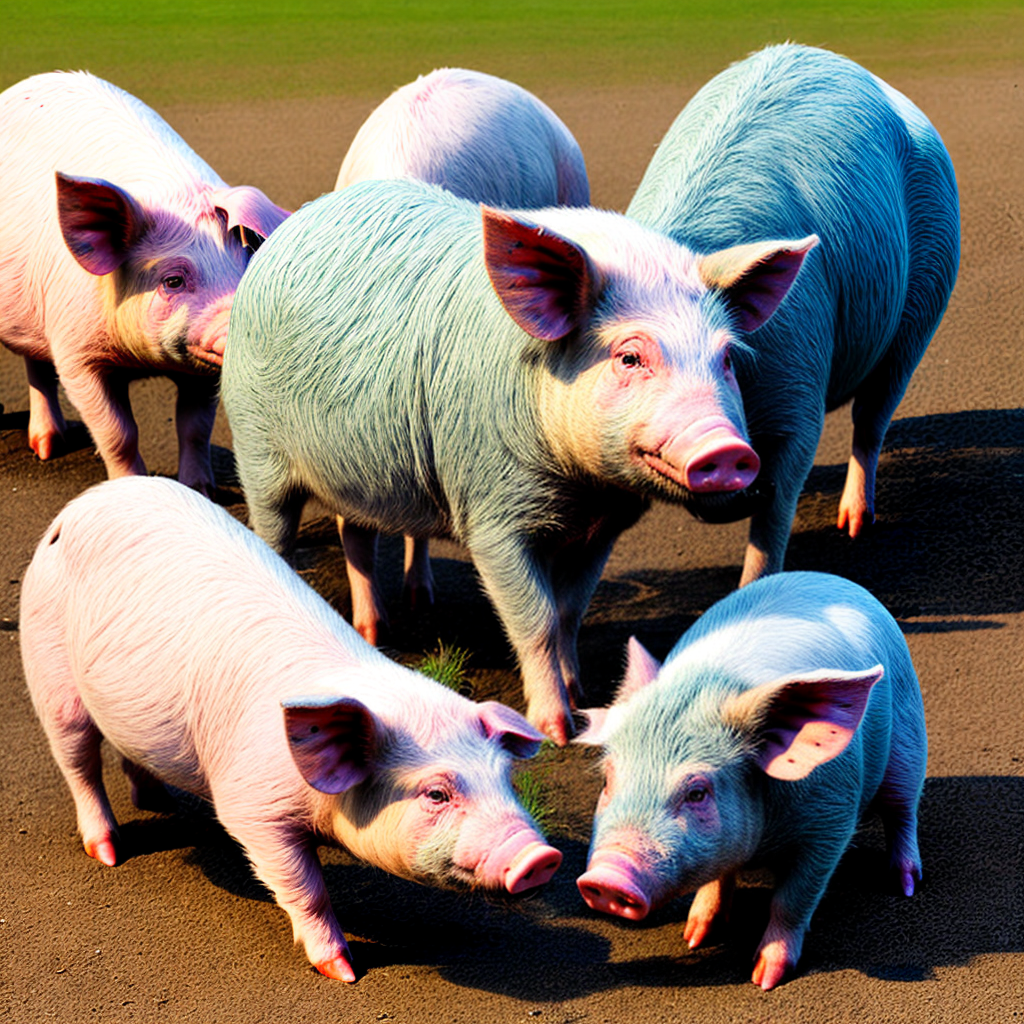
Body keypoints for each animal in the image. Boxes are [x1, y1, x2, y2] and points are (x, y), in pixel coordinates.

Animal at [0, 71, 289, 494]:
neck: (137, 363)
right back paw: (47, 450)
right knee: (39, 370)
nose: (237, 327)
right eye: (173, 280)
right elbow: (118, 433)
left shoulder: (201, 365)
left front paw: (202, 492)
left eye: (247, 266)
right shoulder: (76, 351)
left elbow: (194, 428)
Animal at [20, 475, 561, 982]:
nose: (540, 857)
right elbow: (306, 889)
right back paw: (108, 852)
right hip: (48, 665)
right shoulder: (252, 806)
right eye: (436, 794)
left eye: (506, 780)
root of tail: (83, 504)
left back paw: (158, 801)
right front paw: (343, 972)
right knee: (78, 762)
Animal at [220, 176, 817, 745]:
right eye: (630, 356)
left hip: (356, 469)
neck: (583, 491)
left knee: (356, 534)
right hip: (255, 447)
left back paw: (379, 630)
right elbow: (536, 619)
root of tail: (296, 223)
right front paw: (558, 730)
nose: (729, 450)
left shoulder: (603, 528)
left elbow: (571, 610)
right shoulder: (491, 513)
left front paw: (581, 696)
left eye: (726, 358)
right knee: (275, 532)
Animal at [576, 570, 926, 990]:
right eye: (608, 780)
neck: (764, 844)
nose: (605, 877)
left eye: (697, 792)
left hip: (908, 734)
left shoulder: (832, 819)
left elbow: (792, 900)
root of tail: (826, 578)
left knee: (902, 809)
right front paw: (695, 937)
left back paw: (905, 885)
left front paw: (765, 979)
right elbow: (718, 877)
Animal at [627, 43, 960, 584]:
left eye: (728, 358)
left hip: (924, 300)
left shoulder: (799, 376)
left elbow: (775, 517)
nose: (725, 456)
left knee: (874, 414)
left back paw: (855, 525)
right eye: (631, 362)